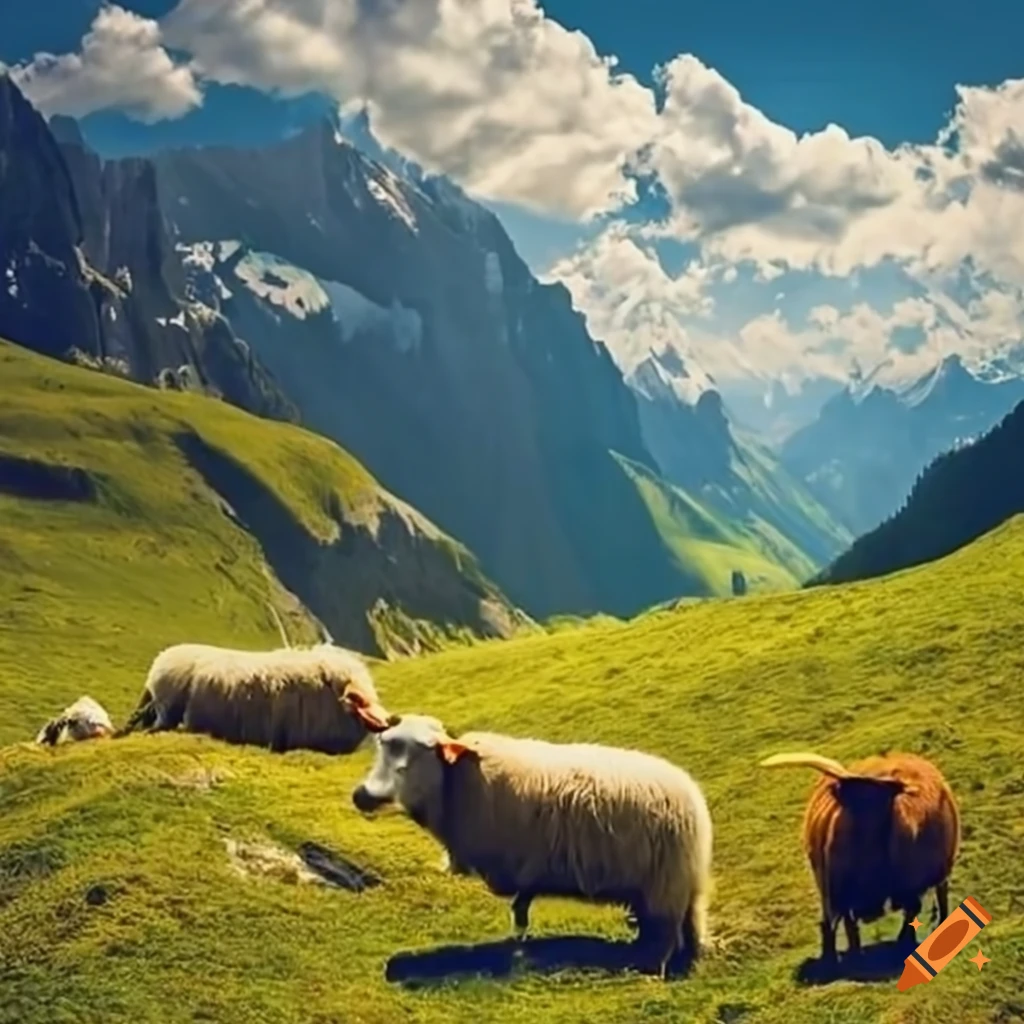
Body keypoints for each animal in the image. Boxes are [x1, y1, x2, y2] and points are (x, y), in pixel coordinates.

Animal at [349, 711, 714, 977]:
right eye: (382, 745)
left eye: (414, 757)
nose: (363, 795)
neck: (454, 784)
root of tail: (693, 799)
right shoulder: (529, 865)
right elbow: (521, 906)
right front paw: (520, 936)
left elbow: (520, 904)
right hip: (675, 889)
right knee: (685, 930)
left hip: (663, 887)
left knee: (662, 937)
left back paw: (645, 969)